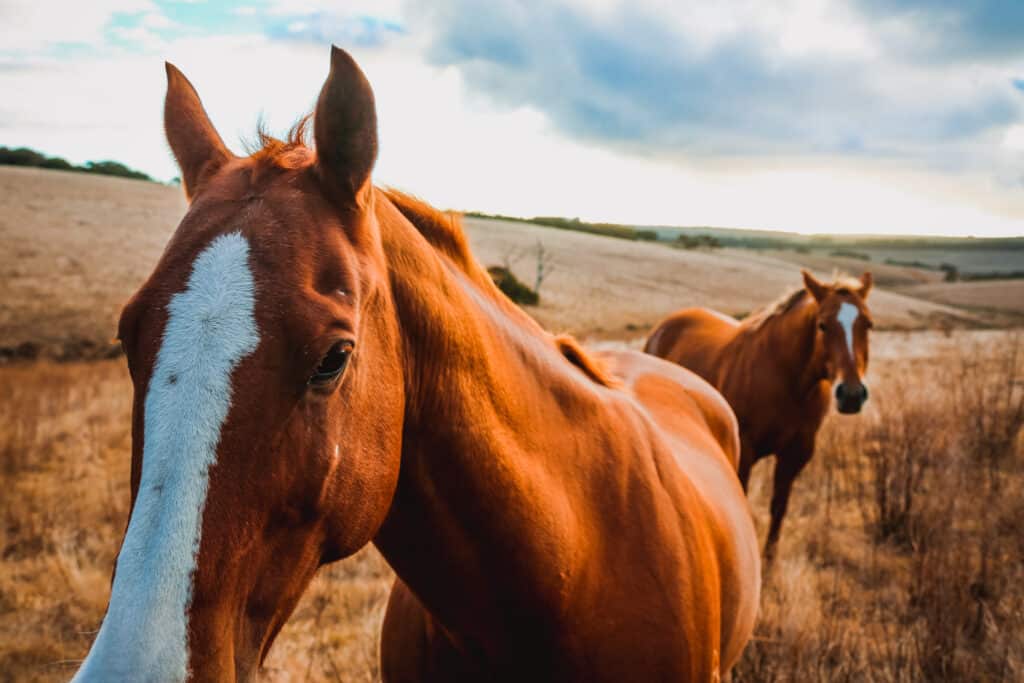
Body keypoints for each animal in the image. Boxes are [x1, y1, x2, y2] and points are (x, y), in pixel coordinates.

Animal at [644, 270, 873, 558]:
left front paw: (770, 560)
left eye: (868, 324)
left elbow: (779, 508)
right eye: (823, 325)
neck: (786, 377)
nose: (851, 394)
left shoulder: (795, 454)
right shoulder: (745, 448)